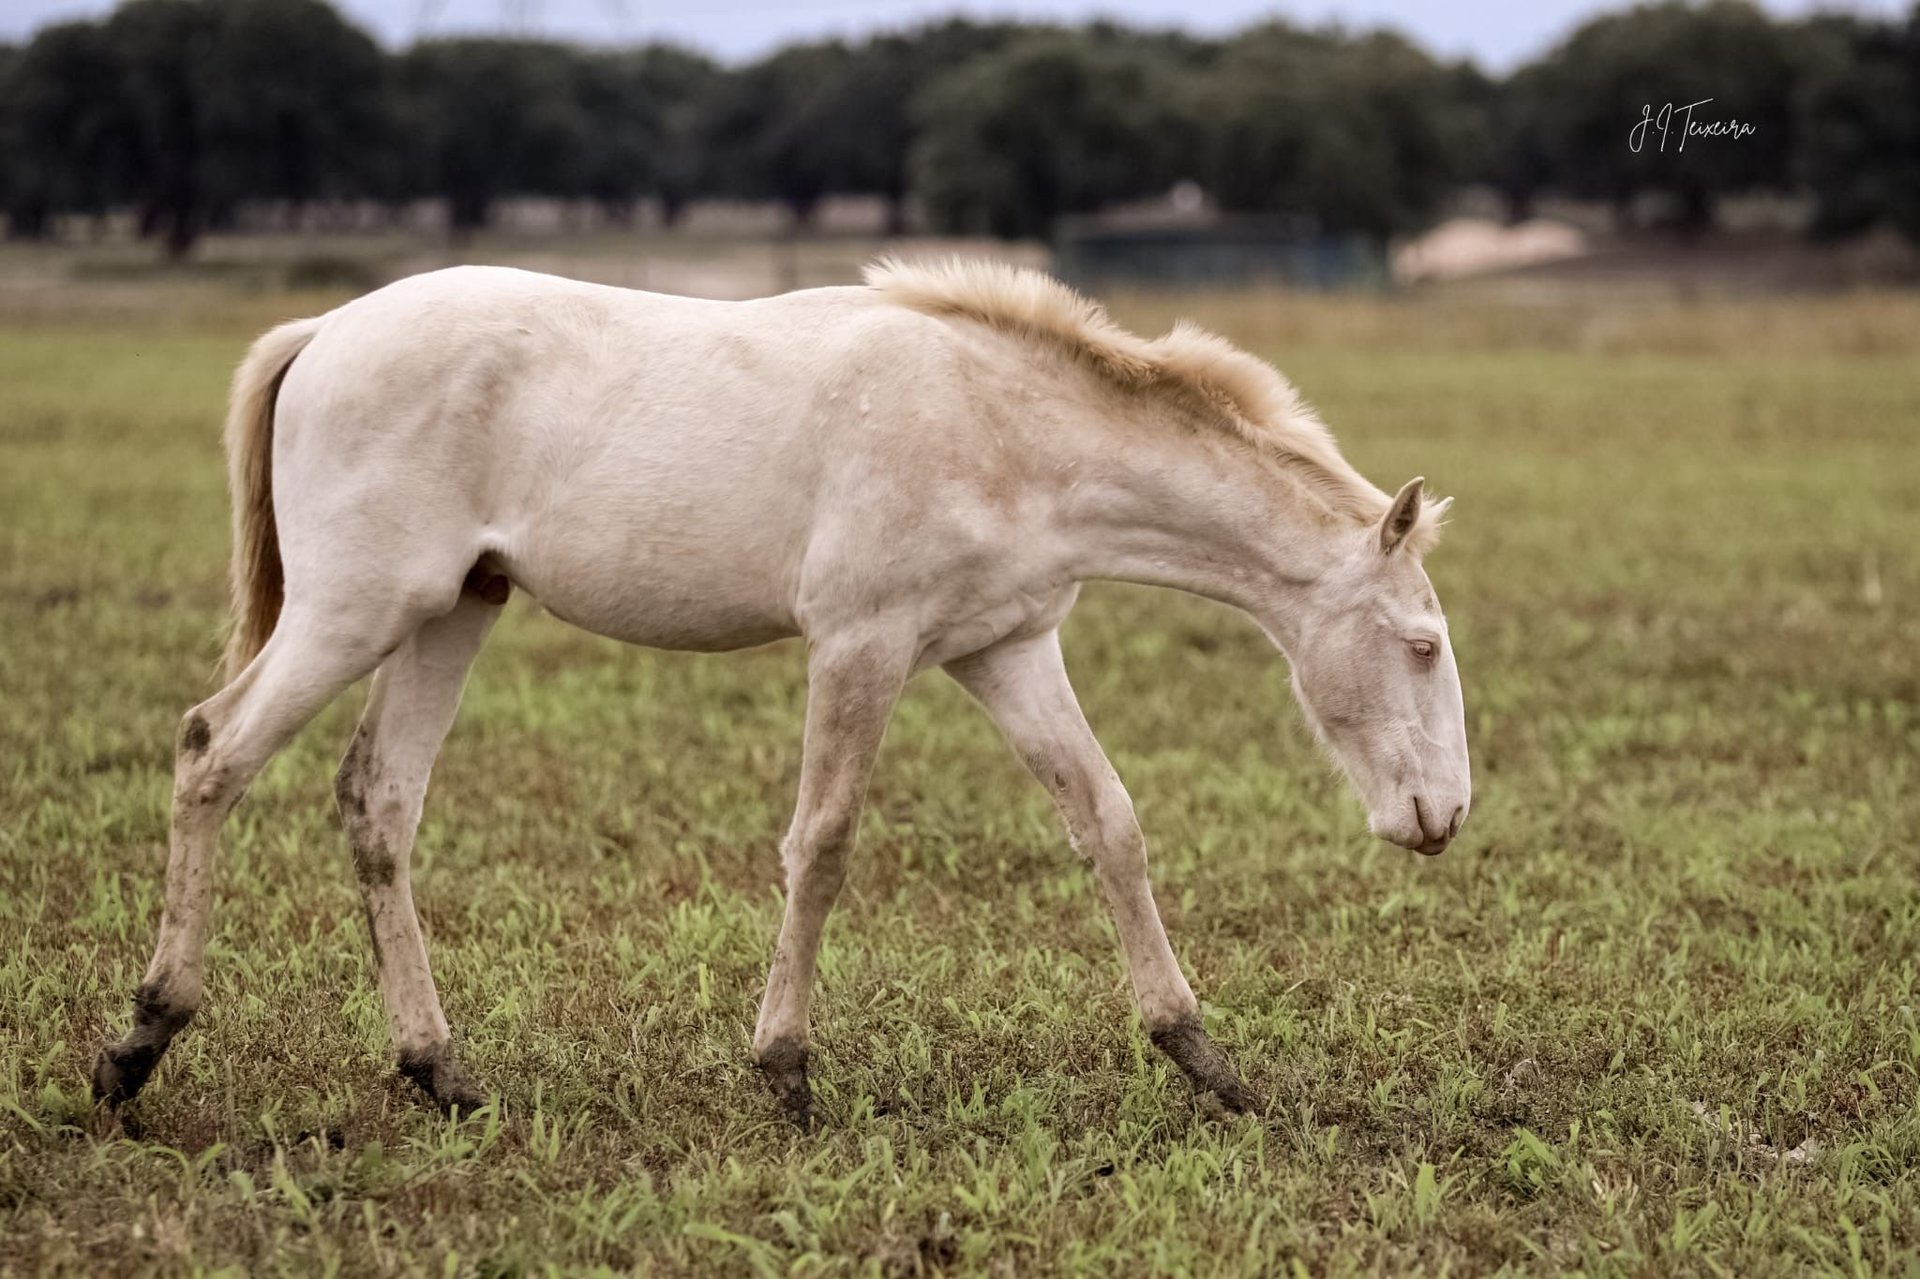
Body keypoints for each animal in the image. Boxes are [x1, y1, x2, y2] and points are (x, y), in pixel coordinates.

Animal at [93, 258, 1469, 1127]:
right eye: (1420, 644)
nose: (1442, 819)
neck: (1002, 426)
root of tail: (323, 332)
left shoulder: (1007, 649)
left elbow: (1109, 825)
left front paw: (1203, 1057)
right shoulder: (861, 645)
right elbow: (824, 843)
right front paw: (786, 1071)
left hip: (451, 612)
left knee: (377, 804)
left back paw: (442, 1073)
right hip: (355, 611)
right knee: (212, 749)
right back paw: (139, 1045)